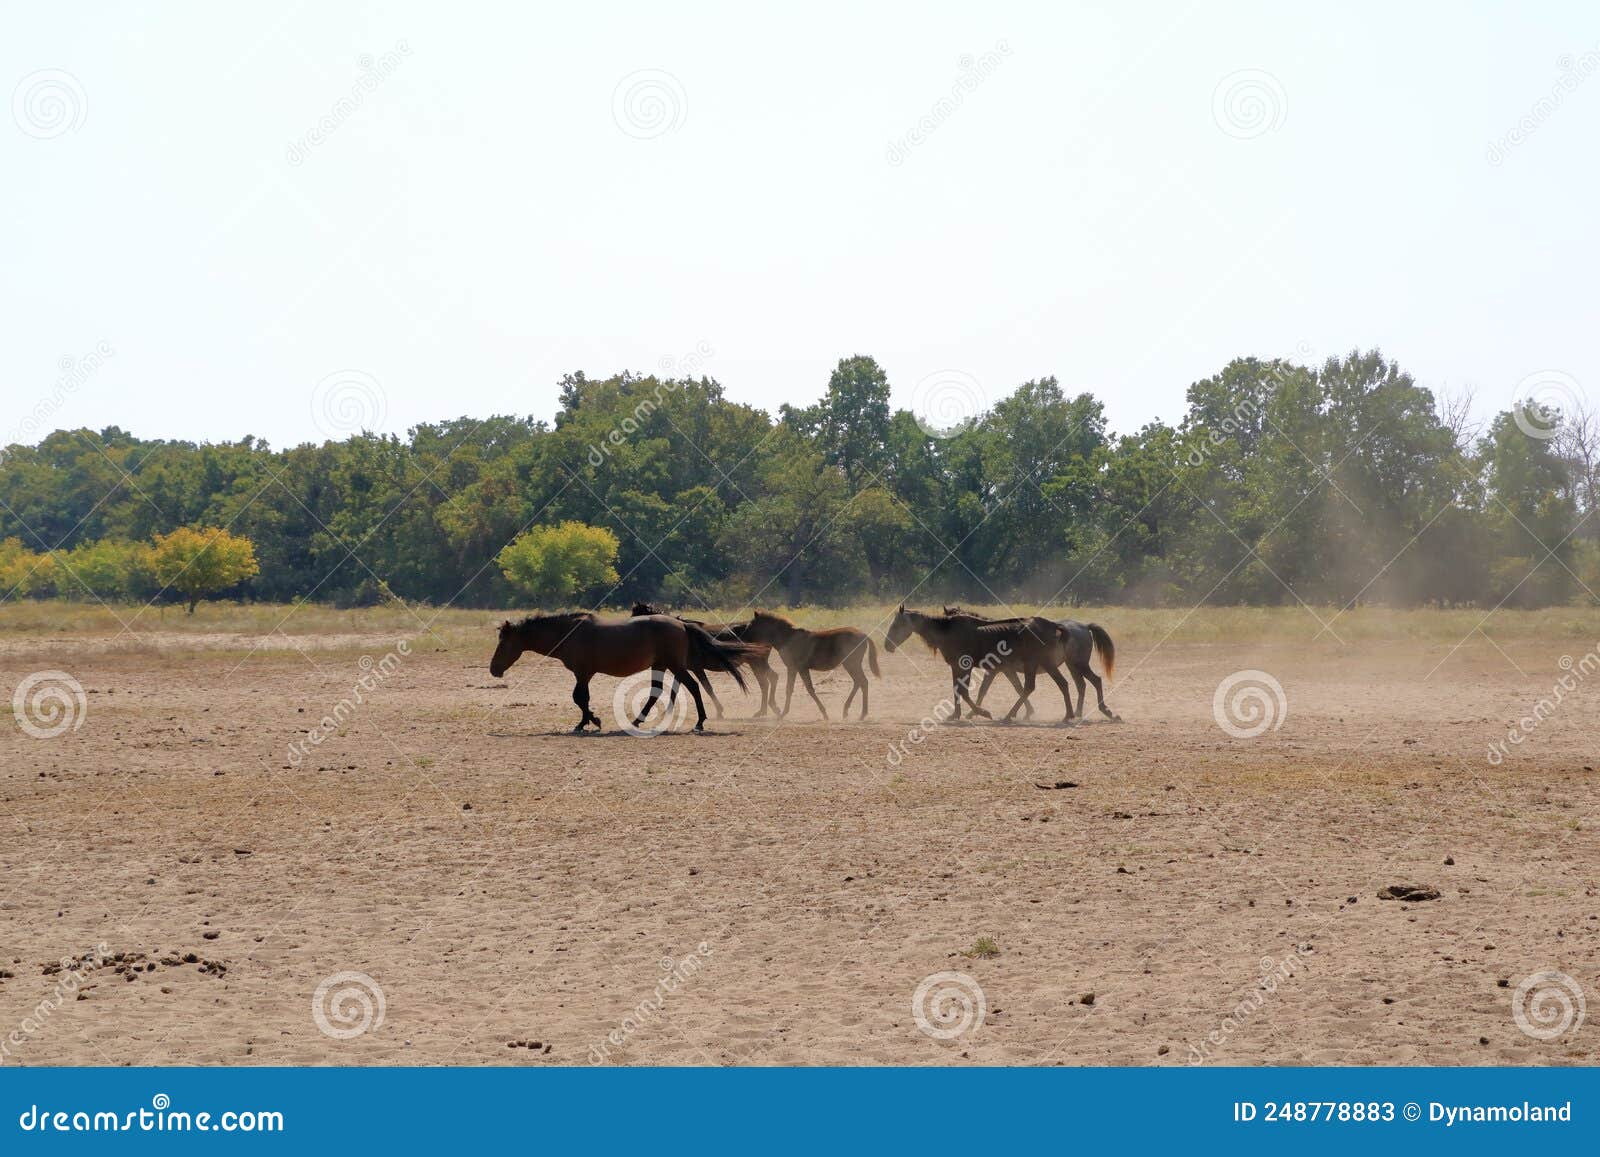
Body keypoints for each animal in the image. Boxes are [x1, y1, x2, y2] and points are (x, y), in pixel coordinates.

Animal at [488, 611, 760, 733]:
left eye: (503, 643)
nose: (493, 670)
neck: (569, 633)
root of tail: (681, 624)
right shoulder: (583, 674)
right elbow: (580, 698)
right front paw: (589, 721)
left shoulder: (583, 673)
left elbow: (579, 698)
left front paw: (588, 722)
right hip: (660, 665)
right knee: (656, 692)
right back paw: (637, 720)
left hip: (675, 665)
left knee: (692, 686)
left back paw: (700, 722)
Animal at [630, 603, 779, 718]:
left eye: (636, 614)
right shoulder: (686, 668)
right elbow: (678, 689)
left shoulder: (694, 668)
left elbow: (706, 688)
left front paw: (719, 711)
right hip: (759, 663)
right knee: (771, 678)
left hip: (757, 663)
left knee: (765, 683)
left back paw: (764, 710)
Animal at [743, 610, 879, 719]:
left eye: (751, 625)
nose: (743, 639)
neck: (787, 638)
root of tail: (864, 635)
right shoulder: (795, 668)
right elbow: (793, 689)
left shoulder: (798, 668)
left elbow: (805, 689)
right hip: (851, 665)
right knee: (859, 682)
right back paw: (847, 711)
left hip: (851, 664)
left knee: (862, 682)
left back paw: (862, 714)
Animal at [884, 605, 1076, 722]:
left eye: (896, 625)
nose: (886, 645)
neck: (947, 631)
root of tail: (1053, 626)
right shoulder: (957, 666)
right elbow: (957, 690)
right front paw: (955, 714)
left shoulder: (966, 666)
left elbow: (965, 691)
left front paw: (982, 712)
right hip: (1039, 664)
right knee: (1058, 684)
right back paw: (1068, 715)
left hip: (1039, 663)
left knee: (1035, 686)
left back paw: (1010, 715)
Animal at [945, 606, 1119, 721]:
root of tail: (1084, 626)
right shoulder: (1004, 671)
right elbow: (1015, 688)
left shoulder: (998, 670)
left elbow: (987, 690)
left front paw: (973, 713)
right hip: (1072, 666)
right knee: (1081, 684)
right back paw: (1077, 713)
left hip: (1078, 664)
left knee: (1094, 681)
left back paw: (1104, 710)